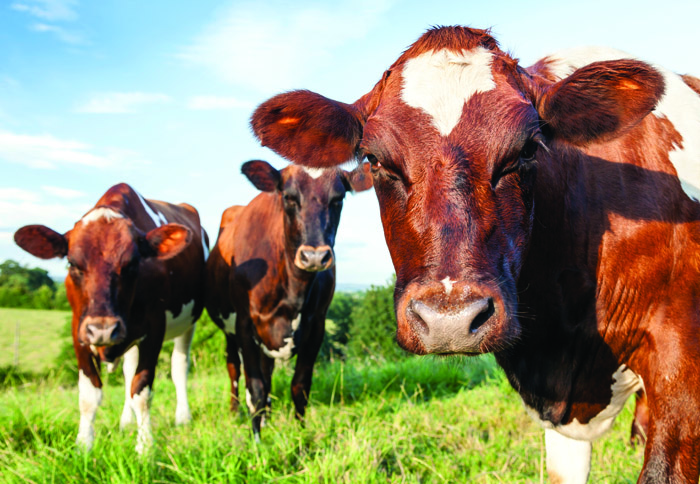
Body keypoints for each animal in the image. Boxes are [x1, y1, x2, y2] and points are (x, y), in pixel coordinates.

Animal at [14, 183, 209, 453]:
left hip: (188, 323)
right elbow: (89, 394)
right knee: (127, 371)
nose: (103, 330)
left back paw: (182, 417)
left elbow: (142, 390)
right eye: (72, 263)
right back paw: (126, 422)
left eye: (132, 264)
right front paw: (84, 445)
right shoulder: (79, 330)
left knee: (179, 367)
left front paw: (145, 447)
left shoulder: (155, 329)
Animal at [205, 160, 372, 441]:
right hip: (229, 330)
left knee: (268, 371)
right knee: (234, 369)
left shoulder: (317, 325)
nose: (314, 257)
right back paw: (236, 412)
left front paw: (300, 433)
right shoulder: (244, 324)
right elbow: (255, 388)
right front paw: (257, 440)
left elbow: (299, 385)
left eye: (338, 199)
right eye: (289, 197)